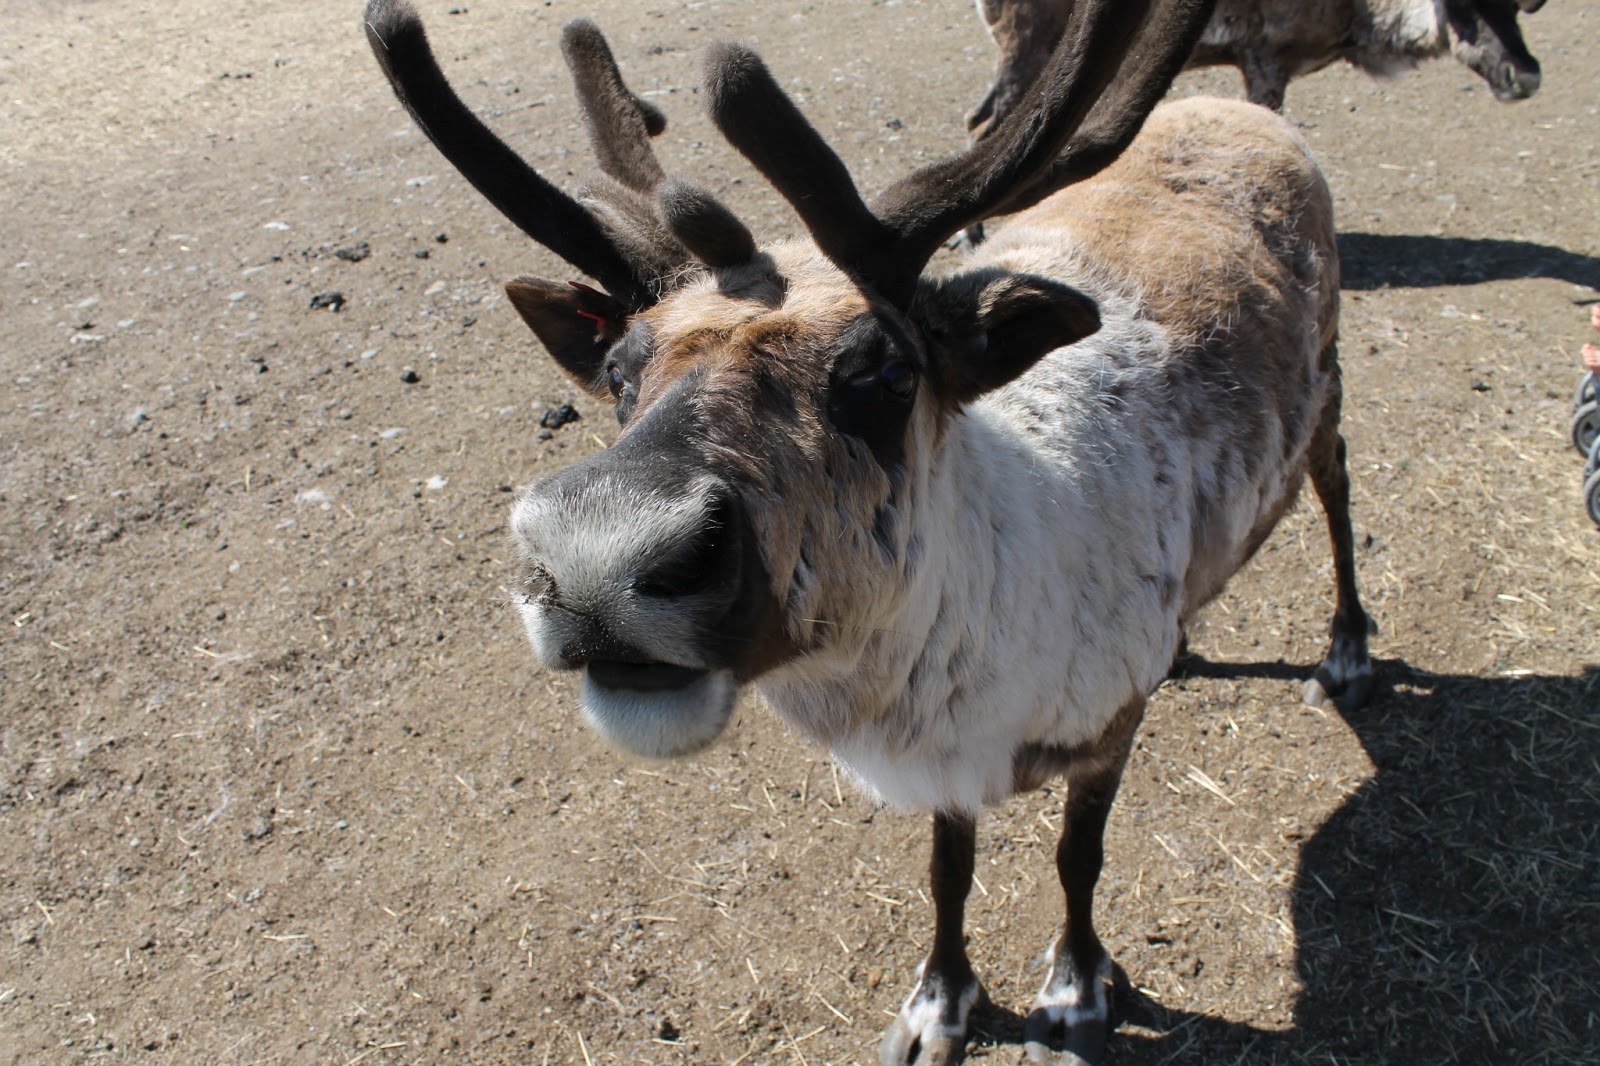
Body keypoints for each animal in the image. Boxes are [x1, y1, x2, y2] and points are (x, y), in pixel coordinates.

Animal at [364, 0, 1375, 1062]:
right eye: (618, 372)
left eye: (888, 371)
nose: (595, 558)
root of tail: (1243, 110)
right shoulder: (947, 760)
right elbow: (947, 873)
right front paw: (940, 1002)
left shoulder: (1103, 729)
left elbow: (1077, 856)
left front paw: (1074, 988)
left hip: (1326, 375)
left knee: (1339, 486)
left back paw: (1348, 652)